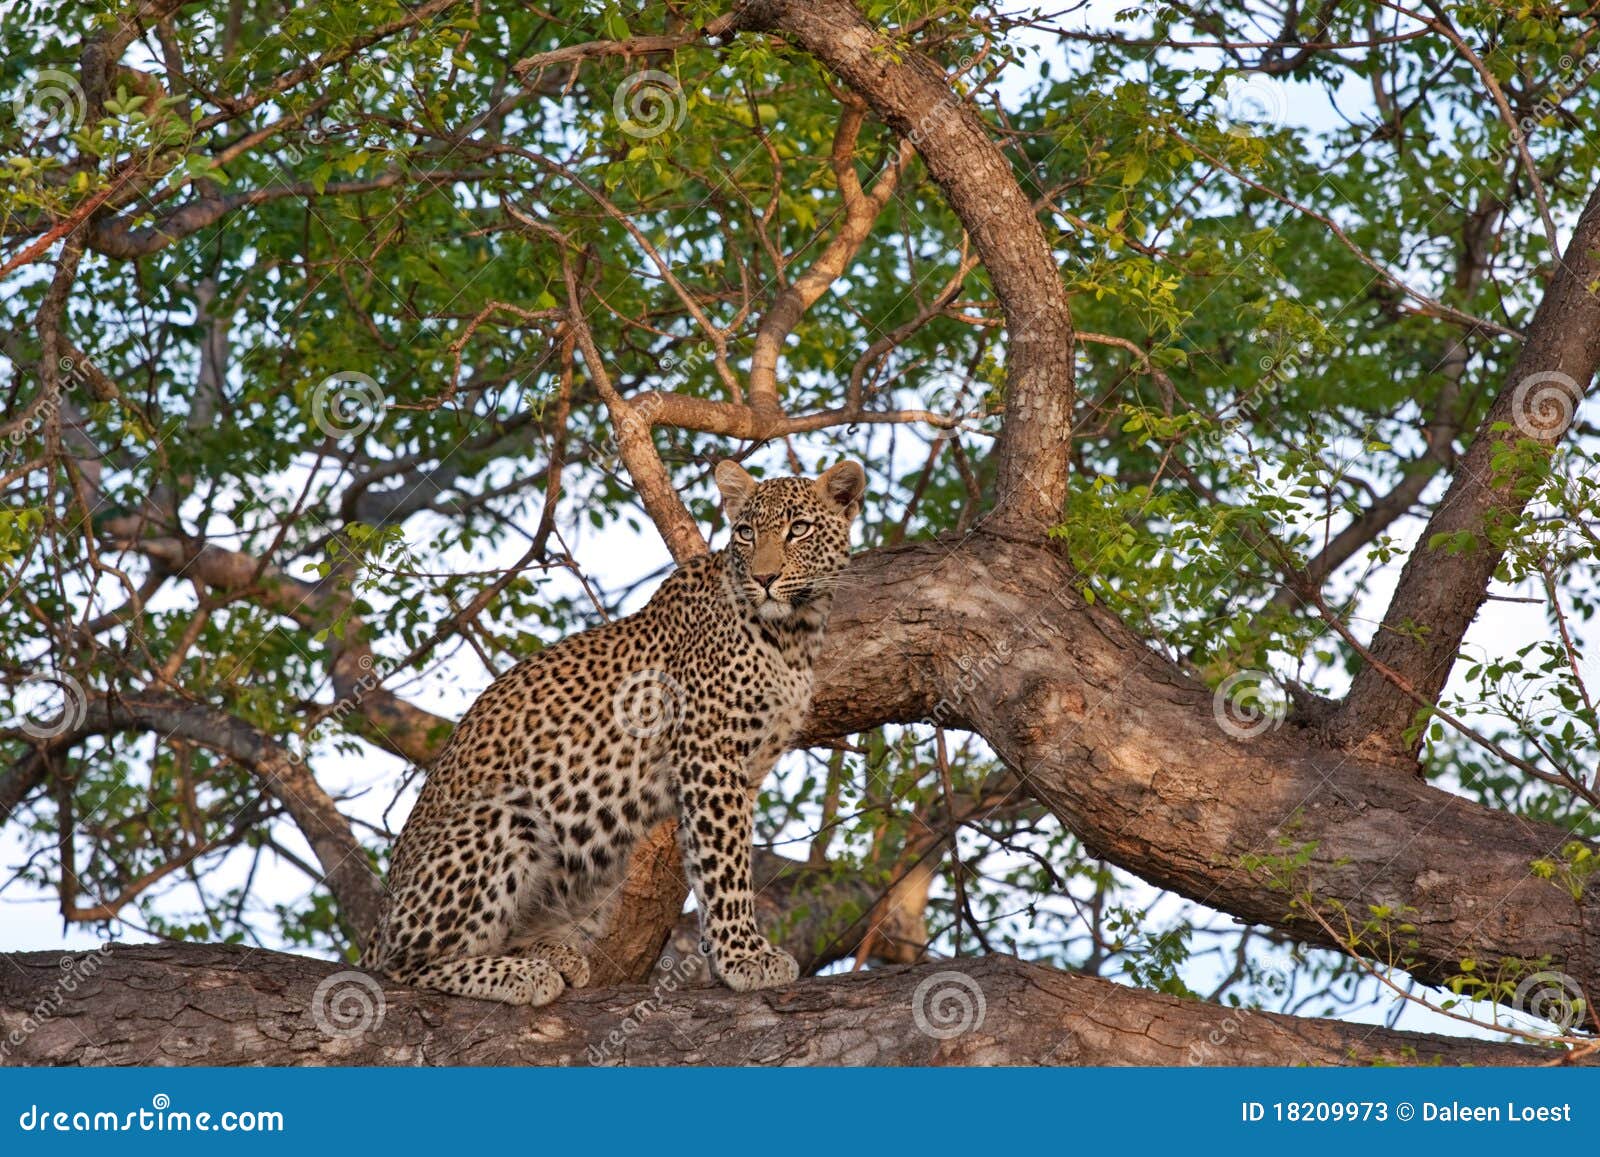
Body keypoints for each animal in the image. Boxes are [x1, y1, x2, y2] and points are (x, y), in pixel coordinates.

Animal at [363, 458, 867, 1006]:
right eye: (746, 533)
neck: (795, 633)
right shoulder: (709, 755)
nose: (765, 577)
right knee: (404, 964)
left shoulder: (744, 769)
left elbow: (713, 863)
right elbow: (727, 866)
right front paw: (745, 958)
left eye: (799, 529)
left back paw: (550, 955)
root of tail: (379, 920)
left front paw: (727, 957)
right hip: (503, 817)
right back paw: (520, 975)